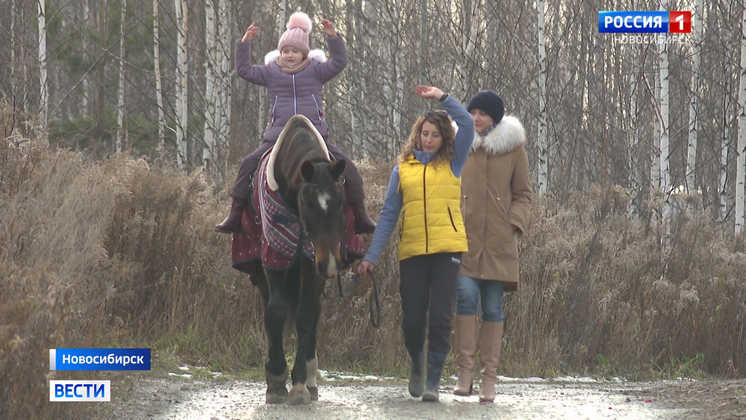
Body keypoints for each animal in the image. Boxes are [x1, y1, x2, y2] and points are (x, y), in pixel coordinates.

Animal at [248, 114, 344, 404]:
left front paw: (299, 383)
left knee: (314, 311)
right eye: (309, 203)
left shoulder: (311, 263)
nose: (330, 264)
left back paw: (311, 381)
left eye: (341, 202)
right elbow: (276, 312)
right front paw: (277, 378)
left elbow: (304, 315)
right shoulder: (274, 256)